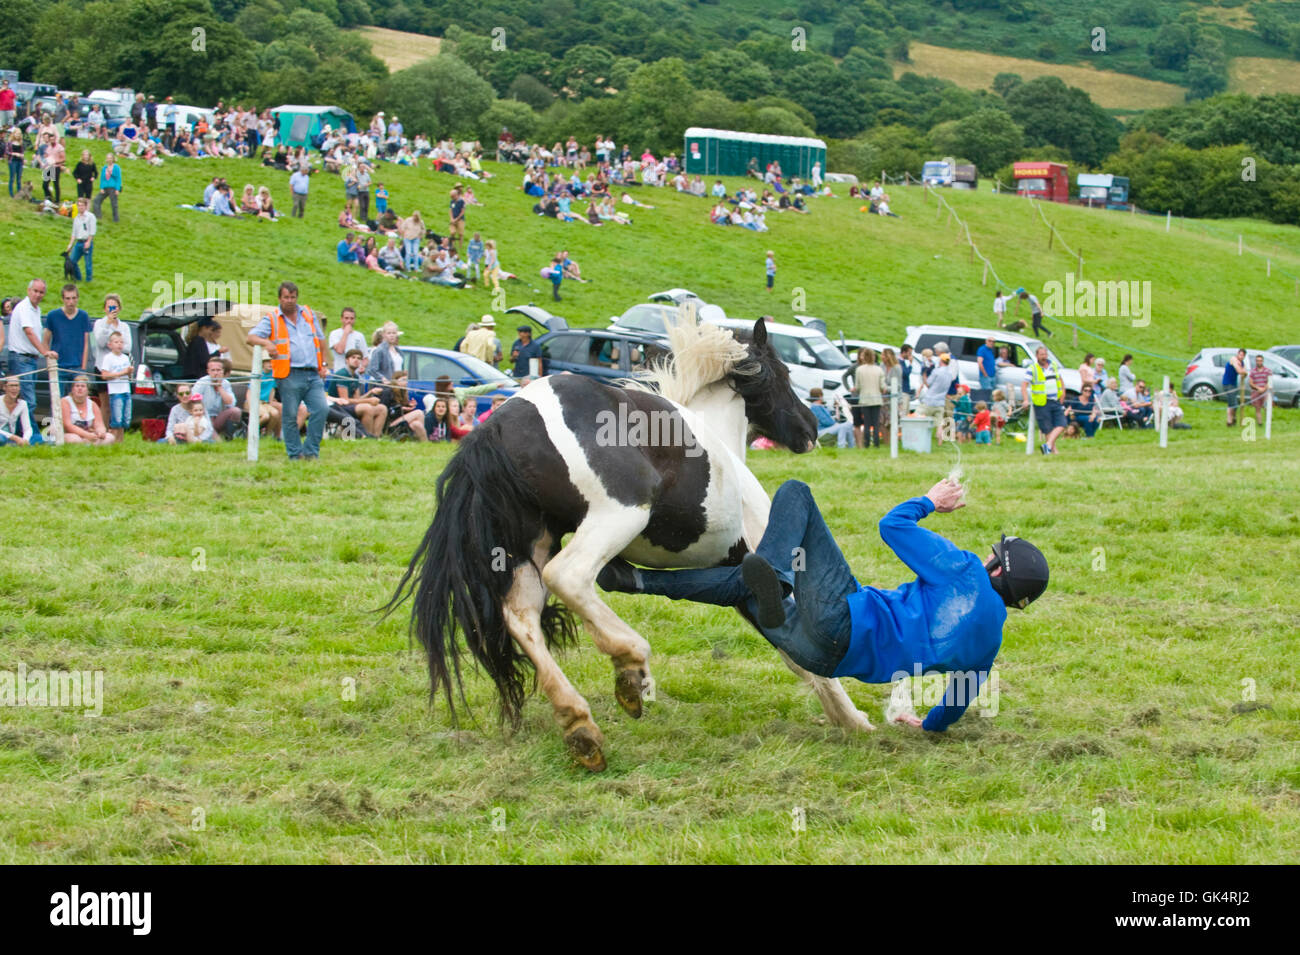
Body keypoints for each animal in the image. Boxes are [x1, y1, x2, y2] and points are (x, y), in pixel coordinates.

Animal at [388, 311, 876, 771]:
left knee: (522, 616)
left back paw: (580, 726)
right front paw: (853, 719)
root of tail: (500, 424)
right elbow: (797, 651)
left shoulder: (731, 576)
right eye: (785, 374)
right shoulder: (753, 563)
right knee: (570, 577)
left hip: (531, 544)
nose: (809, 428)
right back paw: (630, 665)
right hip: (617, 516)